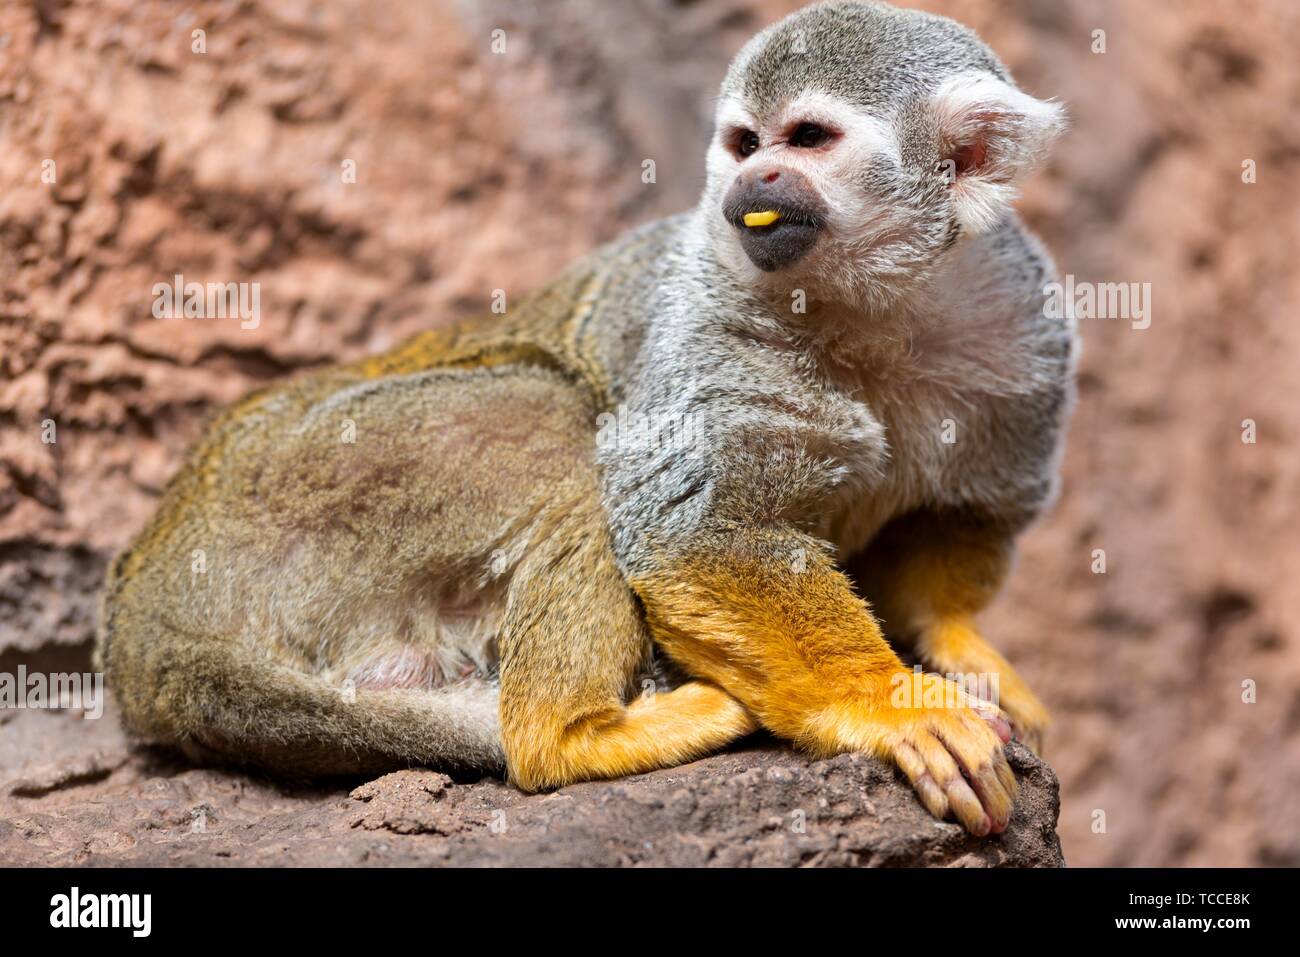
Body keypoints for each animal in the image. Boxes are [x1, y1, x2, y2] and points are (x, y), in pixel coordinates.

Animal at [97, 0, 1073, 838]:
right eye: (743, 142)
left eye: (807, 138)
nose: (752, 179)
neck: (877, 301)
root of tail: (152, 605)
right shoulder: (714, 314)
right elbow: (695, 532)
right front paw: (887, 705)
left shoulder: (1024, 319)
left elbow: (958, 511)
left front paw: (957, 641)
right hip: (308, 481)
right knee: (565, 427)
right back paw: (570, 737)